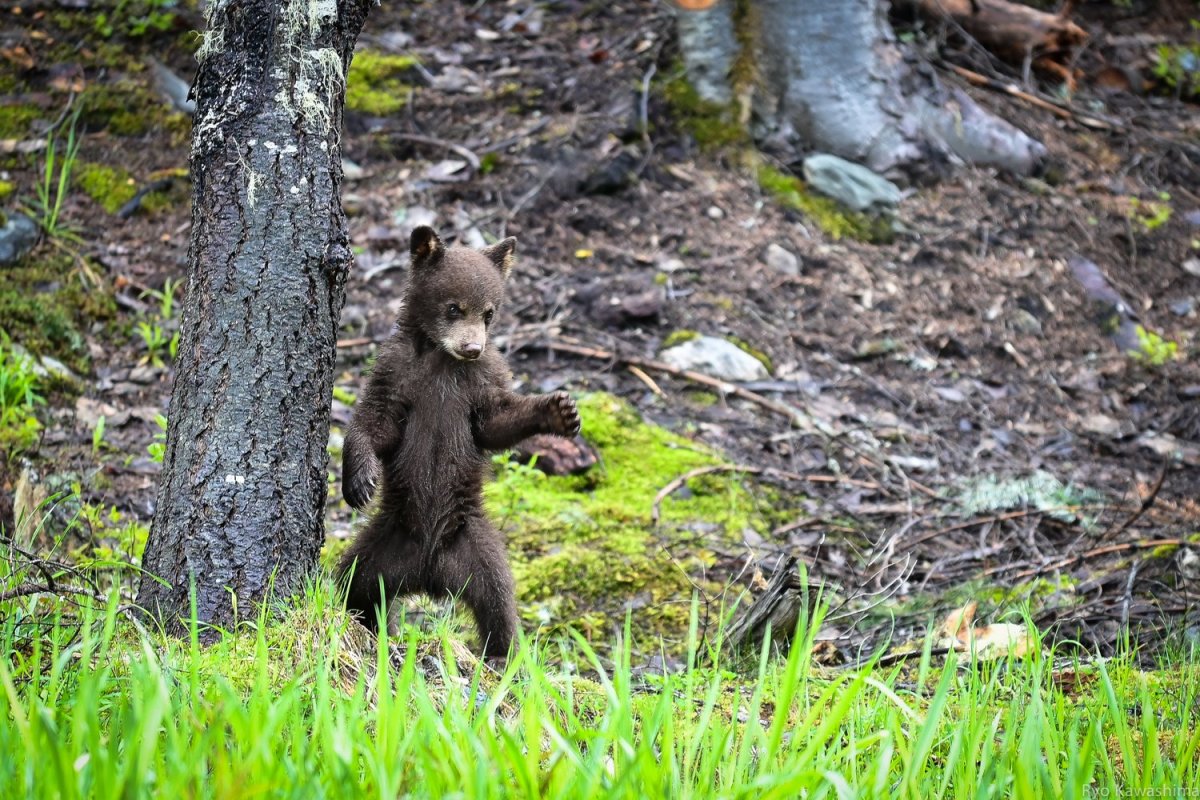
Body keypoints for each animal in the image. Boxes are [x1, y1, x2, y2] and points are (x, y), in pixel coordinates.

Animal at [337, 225, 580, 660]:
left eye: (489, 313)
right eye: (453, 307)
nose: (472, 347)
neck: (442, 361)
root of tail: (430, 574)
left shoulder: (480, 382)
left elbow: (493, 422)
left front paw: (559, 410)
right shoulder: (397, 372)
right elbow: (377, 424)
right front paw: (360, 481)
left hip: (476, 545)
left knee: (498, 602)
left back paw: (502, 654)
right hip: (385, 542)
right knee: (355, 583)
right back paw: (368, 627)